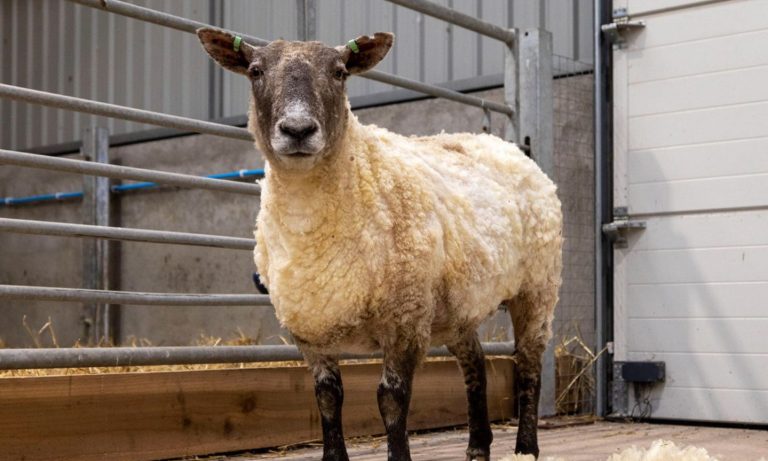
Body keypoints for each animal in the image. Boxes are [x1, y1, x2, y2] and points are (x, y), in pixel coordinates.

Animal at [197, 28, 562, 461]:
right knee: (475, 366)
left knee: (529, 365)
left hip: (537, 287)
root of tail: (510, 149)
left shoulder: (403, 318)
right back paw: (477, 447)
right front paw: (333, 457)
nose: (298, 130)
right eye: (255, 71)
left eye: (340, 72)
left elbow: (391, 399)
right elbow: (327, 398)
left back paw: (525, 447)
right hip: (455, 307)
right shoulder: (310, 329)